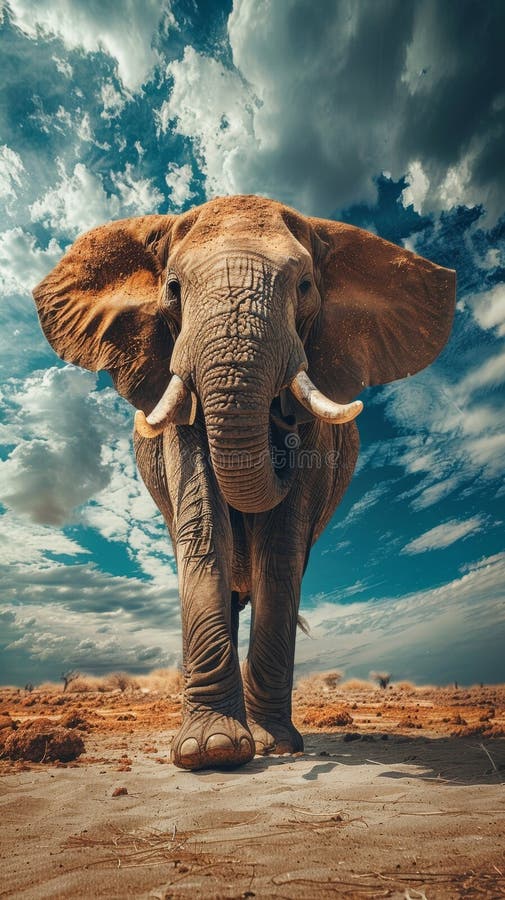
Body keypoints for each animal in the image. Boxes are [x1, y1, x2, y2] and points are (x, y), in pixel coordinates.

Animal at [33, 195, 455, 771]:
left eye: (305, 286)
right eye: (173, 288)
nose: (286, 434)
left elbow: (280, 547)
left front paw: (273, 745)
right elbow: (202, 527)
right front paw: (212, 751)